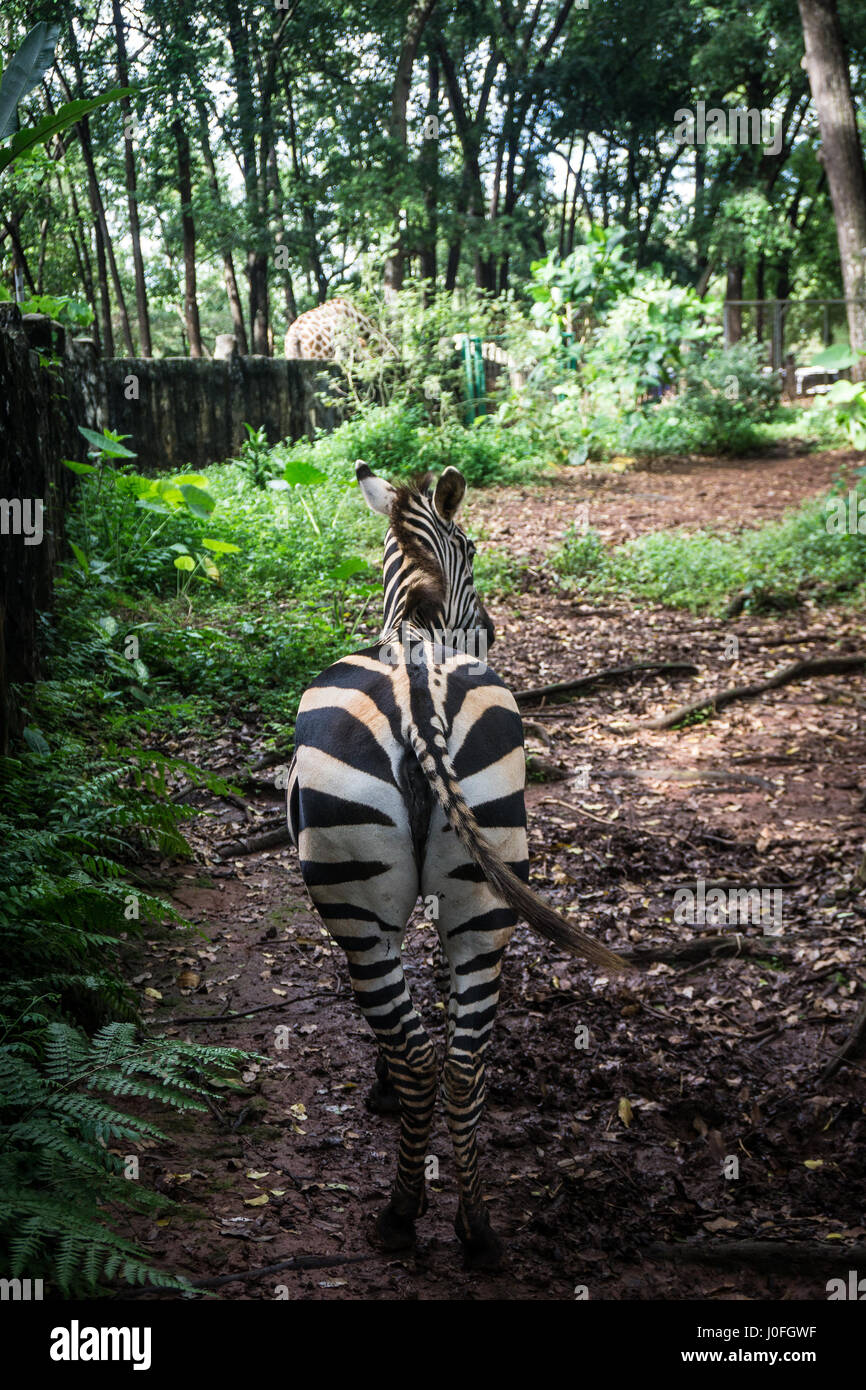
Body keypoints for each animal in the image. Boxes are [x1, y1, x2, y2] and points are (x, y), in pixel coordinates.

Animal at [287, 460, 623, 1268]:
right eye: (472, 549)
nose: (494, 631)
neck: (415, 631)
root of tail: (416, 688)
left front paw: (379, 1089)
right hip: (484, 885)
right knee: (465, 1061)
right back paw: (477, 1228)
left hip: (358, 910)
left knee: (417, 1054)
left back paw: (402, 1212)